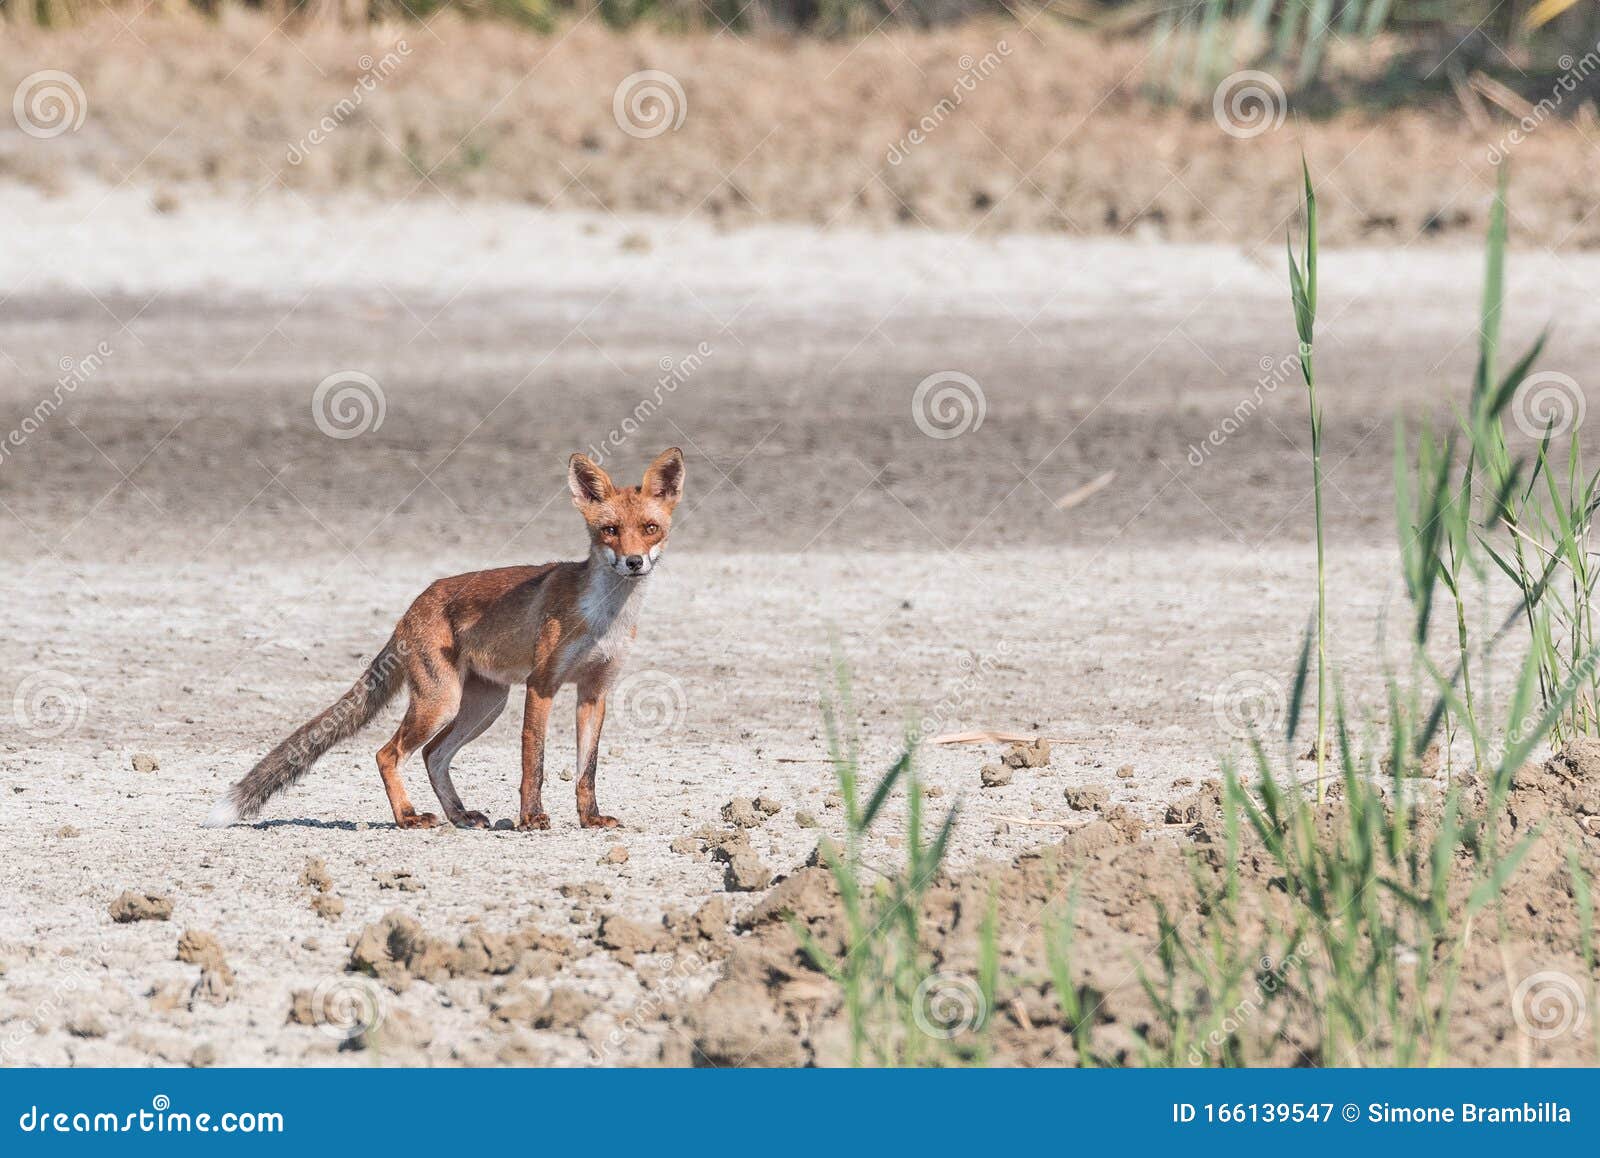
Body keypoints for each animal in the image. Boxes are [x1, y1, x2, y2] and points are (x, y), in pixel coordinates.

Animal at [203, 447, 685, 831]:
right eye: (609, 530)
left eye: (650, 528)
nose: (634, 562)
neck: (603, 617)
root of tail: (414, 603)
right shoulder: (542, 685)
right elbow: (534, 761)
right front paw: (531, 818)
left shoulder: (594, 692)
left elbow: (588, 769)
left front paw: (590, 819)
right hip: (442, 702)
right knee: (388, 754)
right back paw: (408, 817)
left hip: (483, 704)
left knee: (434, 755)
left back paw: (458, 814)